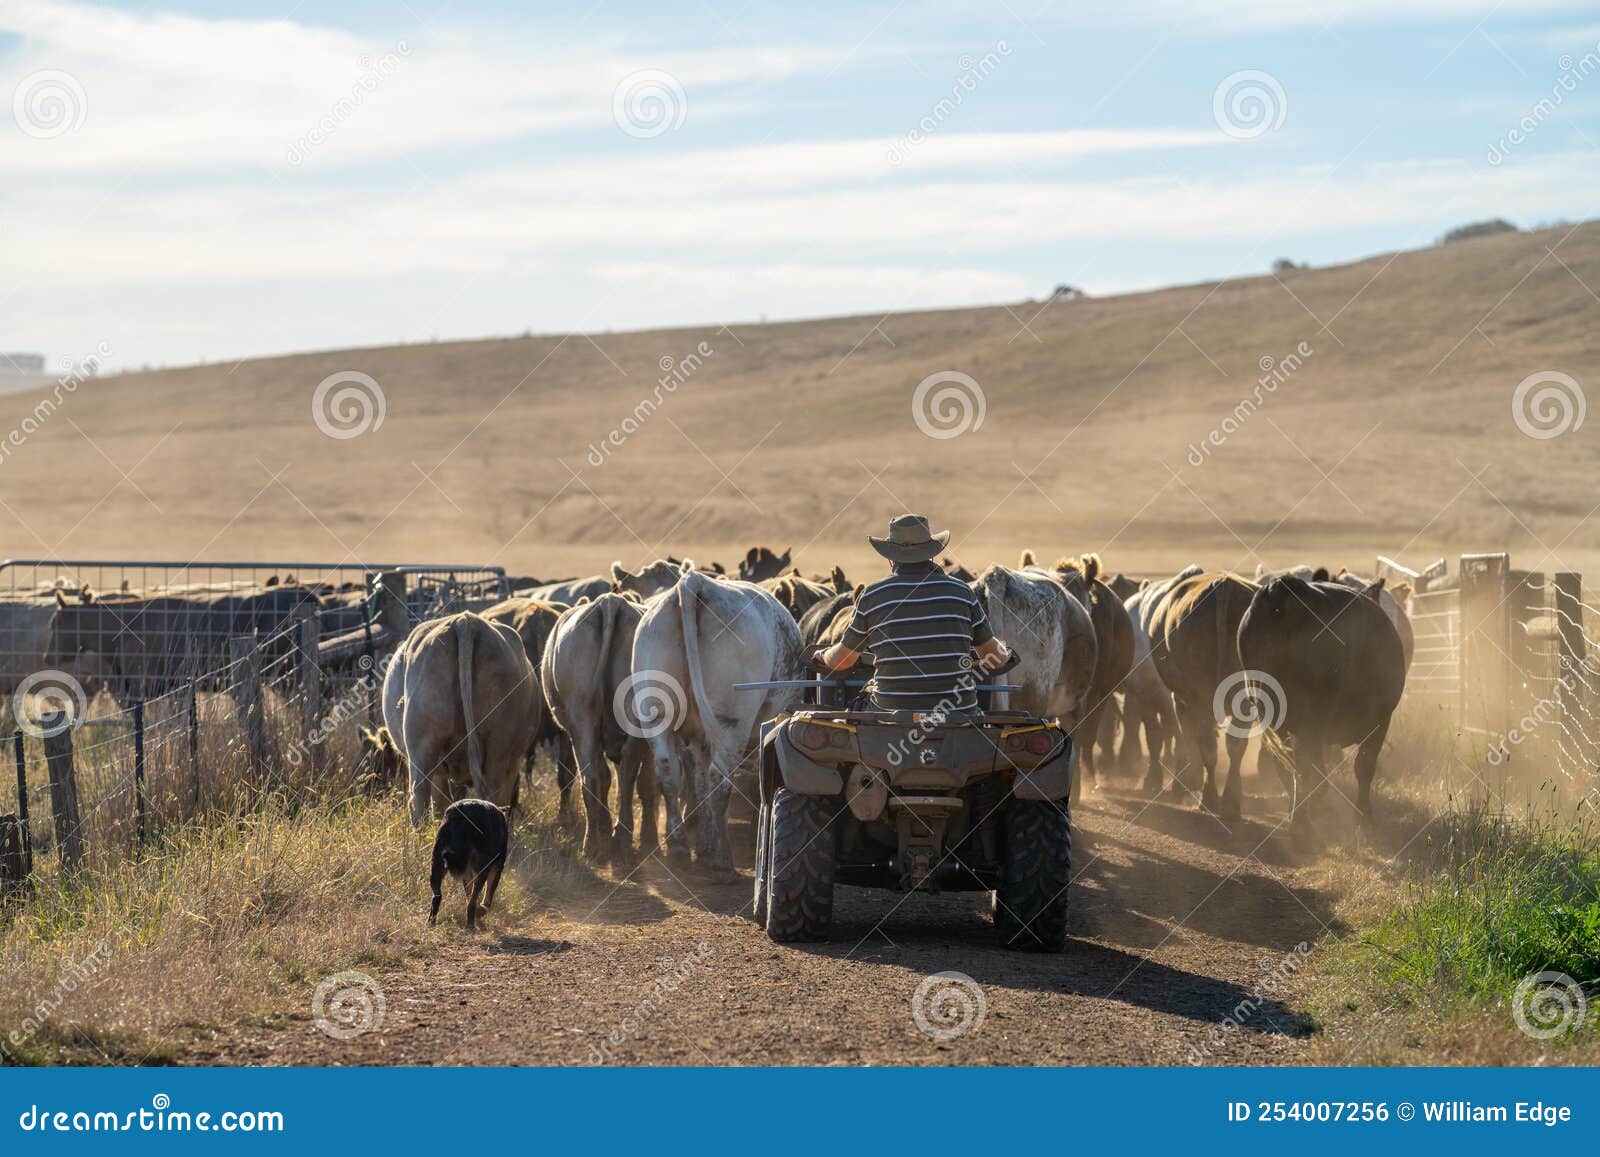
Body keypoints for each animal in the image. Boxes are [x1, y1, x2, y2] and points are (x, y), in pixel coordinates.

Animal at [540, 593, 660, 864]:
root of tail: (610, 602)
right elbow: (643, 783)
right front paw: (646, 837)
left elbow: (606, 778)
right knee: (626, 776)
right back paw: (621, 838)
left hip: (582, 721)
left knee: (594, 777)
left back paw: (594, 843)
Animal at [631, 563, 803, 874]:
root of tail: (695, 584)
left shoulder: (697, 739)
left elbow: (698, 784)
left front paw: (703, 842)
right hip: (730, 723)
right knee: (719, 780)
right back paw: (723, 858)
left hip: (657, 716)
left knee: (670, 773)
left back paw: (679, 846)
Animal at [1146, 571, 1258, 817]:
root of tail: (1223, 586)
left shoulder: (1180, 700)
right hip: (1243, 700)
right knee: (1235, 747)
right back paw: (1230, 803)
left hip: (1200, 696)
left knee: (1209, 746)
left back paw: (1209, 797)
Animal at [1237, 575, 1406, 835]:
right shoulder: (1380, 721)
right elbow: (1364, 766)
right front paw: (1364, 816)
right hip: (1312, 717)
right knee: (1305, 766)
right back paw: (1305, 818)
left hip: (1272, 714)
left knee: (1287, 765)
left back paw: (1299, 813)